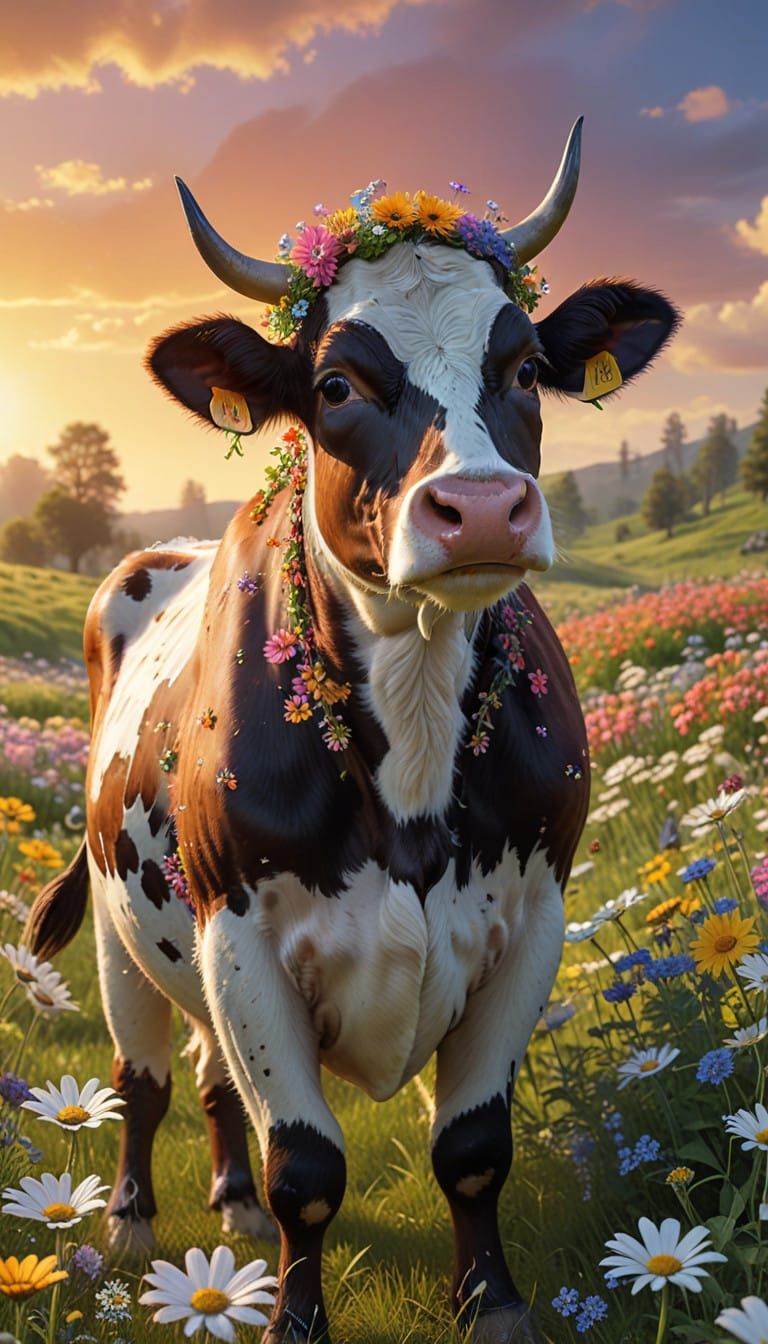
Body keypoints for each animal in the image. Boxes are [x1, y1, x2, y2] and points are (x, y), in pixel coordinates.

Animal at [27, 121, 679, 1343]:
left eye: (527, 370)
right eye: (336, 382)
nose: (482, 509)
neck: (415, 713)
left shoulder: (533, 919)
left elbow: (472, 1148)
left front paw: (493, 1304)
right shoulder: (239, 939)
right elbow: (309, 1167)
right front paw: (293, 1318)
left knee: (212, 1079)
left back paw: (229, 1204)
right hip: (123, 937)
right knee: (144, 1080)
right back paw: (134, 1225)